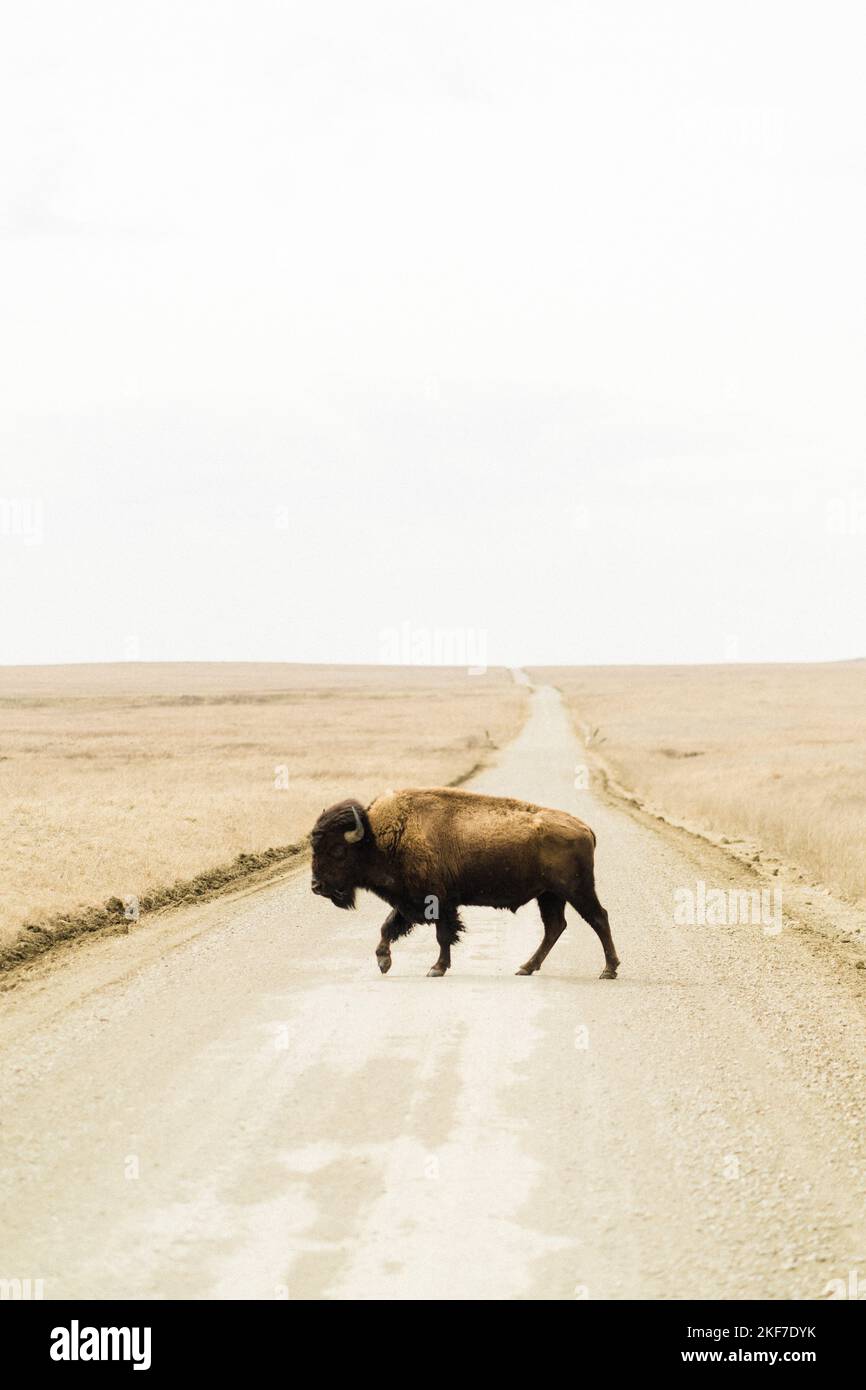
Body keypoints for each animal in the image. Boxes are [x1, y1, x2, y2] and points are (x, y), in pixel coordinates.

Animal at [310, 787, 619, 979]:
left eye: (337, 850)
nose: (316, 886)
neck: (378, 837)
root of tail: (585, 828)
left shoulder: (438, 902)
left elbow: (442, 935)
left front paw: (436, 968)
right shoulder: (408, 901)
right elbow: (388, 926)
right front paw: (383, 962)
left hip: (576, 890)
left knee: (598, 918)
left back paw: (608, 970)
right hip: (549, 895)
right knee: (555, 927)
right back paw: (525, 967)